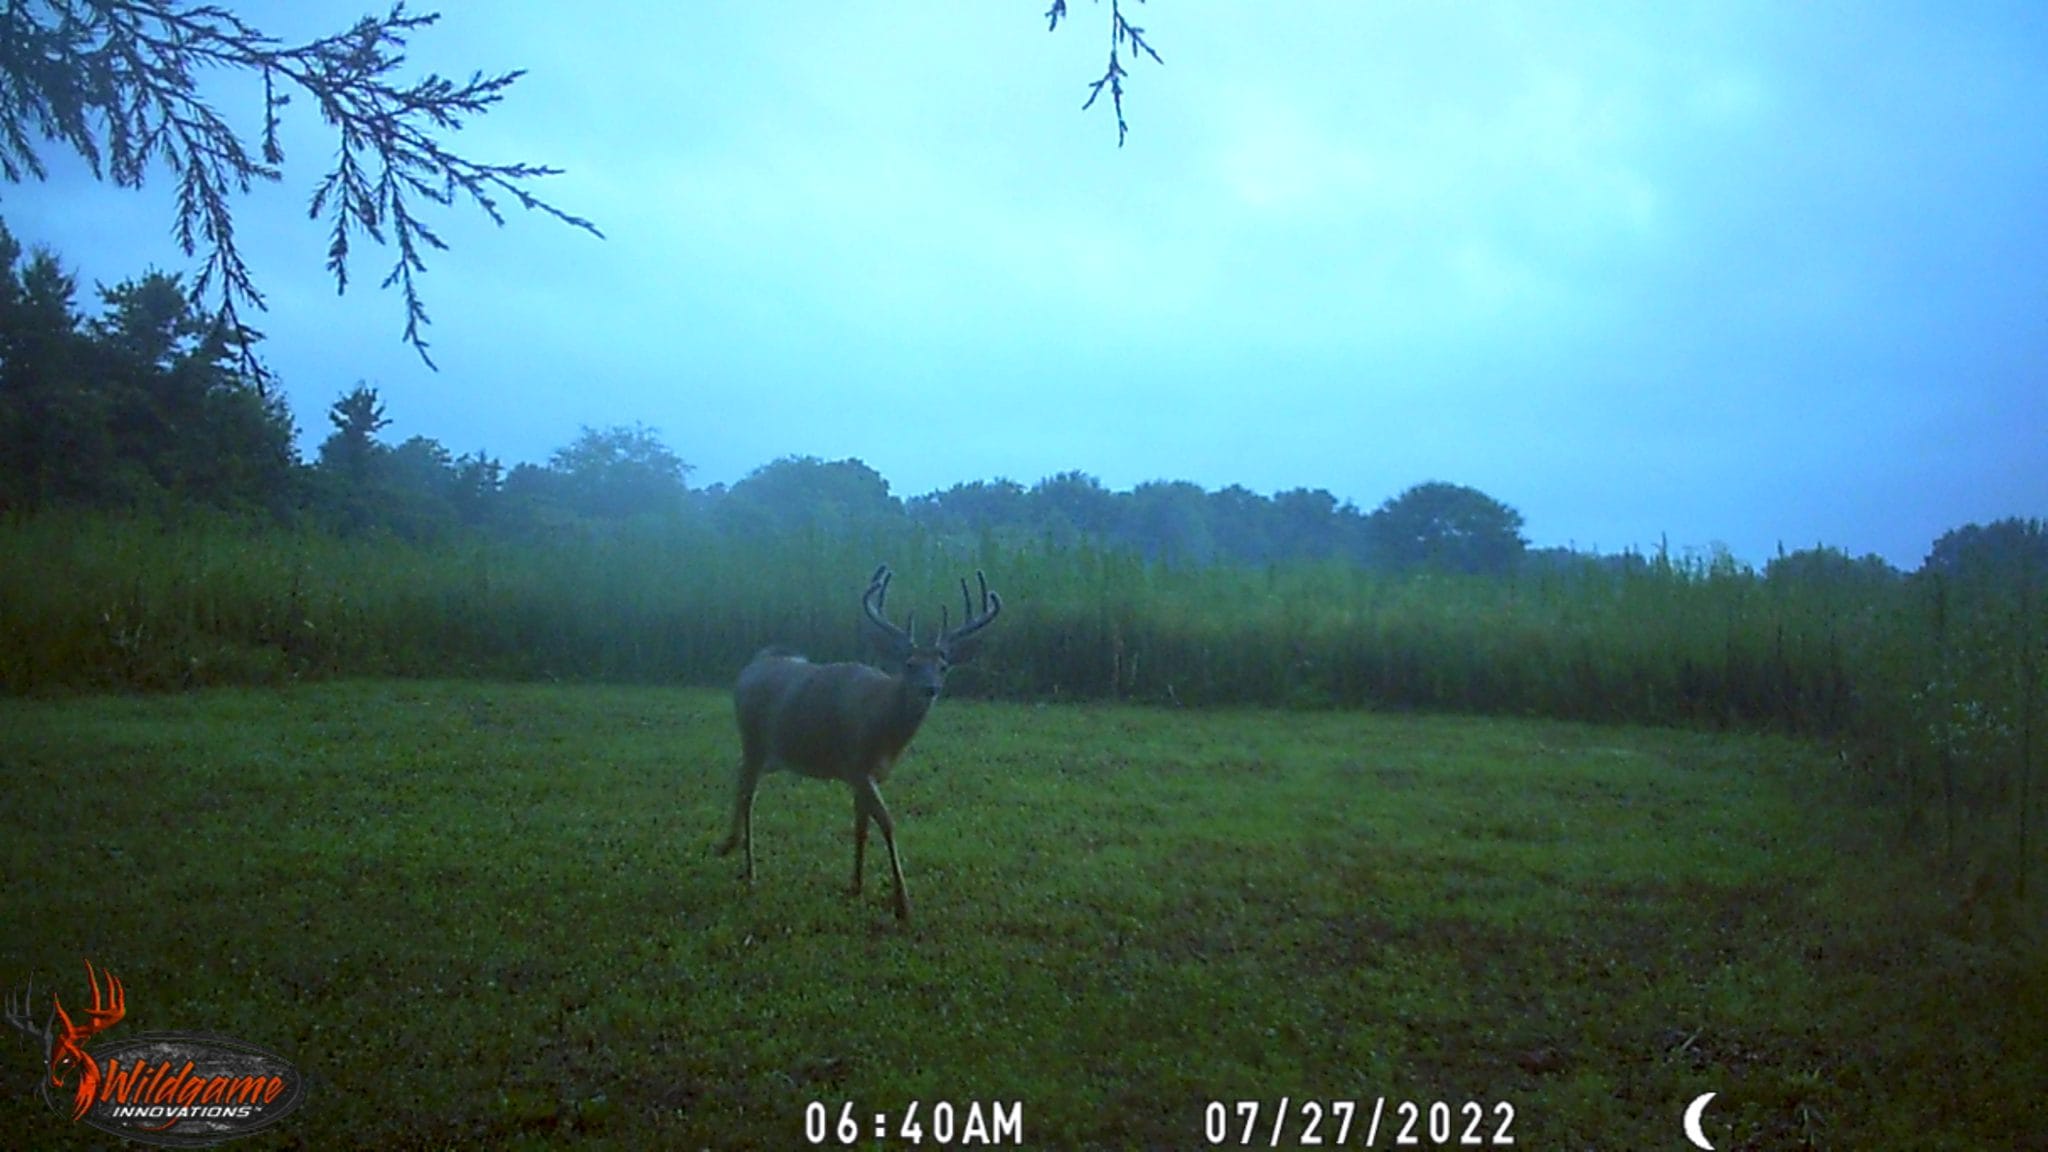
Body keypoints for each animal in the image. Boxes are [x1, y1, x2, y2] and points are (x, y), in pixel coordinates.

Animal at [717, 564, 1001, 922]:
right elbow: (888, 822)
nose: (930, 689)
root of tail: (750, 668)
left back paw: (731, 847)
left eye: (943, 666)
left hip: (774, 753)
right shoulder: (855, 764)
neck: (882, 723)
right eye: (910, 664)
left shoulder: (865, 774)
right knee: (747, 793)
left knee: (739, 777)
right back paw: (748, 868)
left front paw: (856, 884)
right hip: (753, 737)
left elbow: (861, 826)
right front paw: (902, 902)